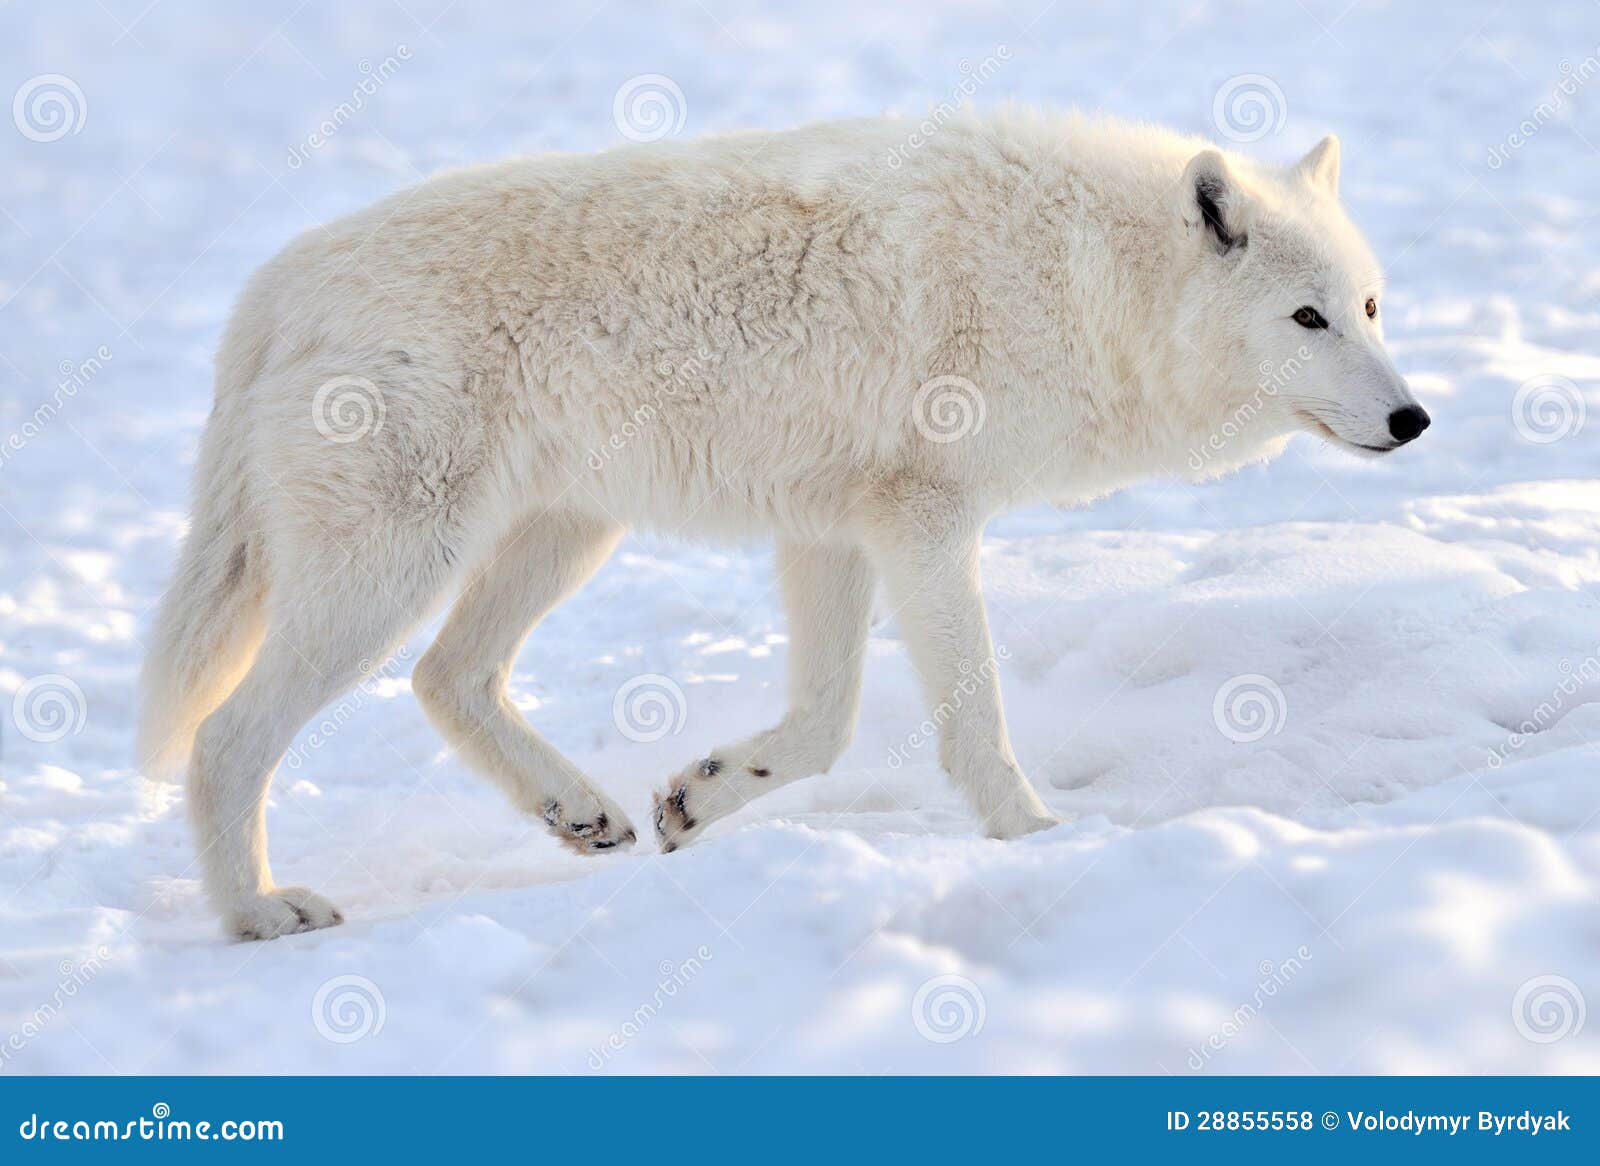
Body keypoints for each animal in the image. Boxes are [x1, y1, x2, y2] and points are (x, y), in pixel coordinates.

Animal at [138, 109, 1429, 939]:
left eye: (1369, 307)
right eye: (1307, 318)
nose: (1412, 418)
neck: (1075, 272)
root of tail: (276, 286)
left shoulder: (834, 531)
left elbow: (820, 726)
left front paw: (698, 794)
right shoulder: (922, 520)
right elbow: (971, 723)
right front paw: (1037, 834)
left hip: (558, 537)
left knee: (448, 678)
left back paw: (582, 811)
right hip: (391, 575)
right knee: (227, 740)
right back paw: (258, 911)